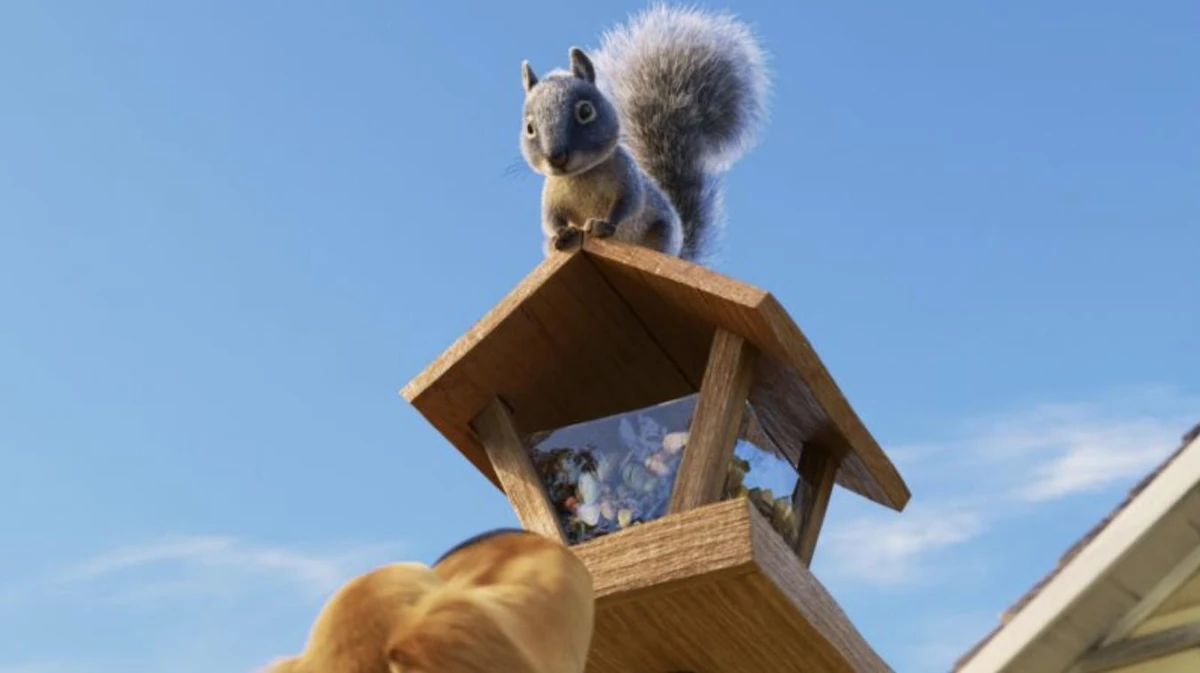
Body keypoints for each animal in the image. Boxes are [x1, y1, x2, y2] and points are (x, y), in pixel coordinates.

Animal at [519, 4, 770, 264]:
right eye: (529, 128)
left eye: (586, 111)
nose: (556, 157)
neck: (581, 175)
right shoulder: (551, 196)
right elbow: (551, 220)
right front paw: (563, 233)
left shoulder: (628, 178)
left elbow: (629, 204)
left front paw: (603, 225)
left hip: (661, 233)